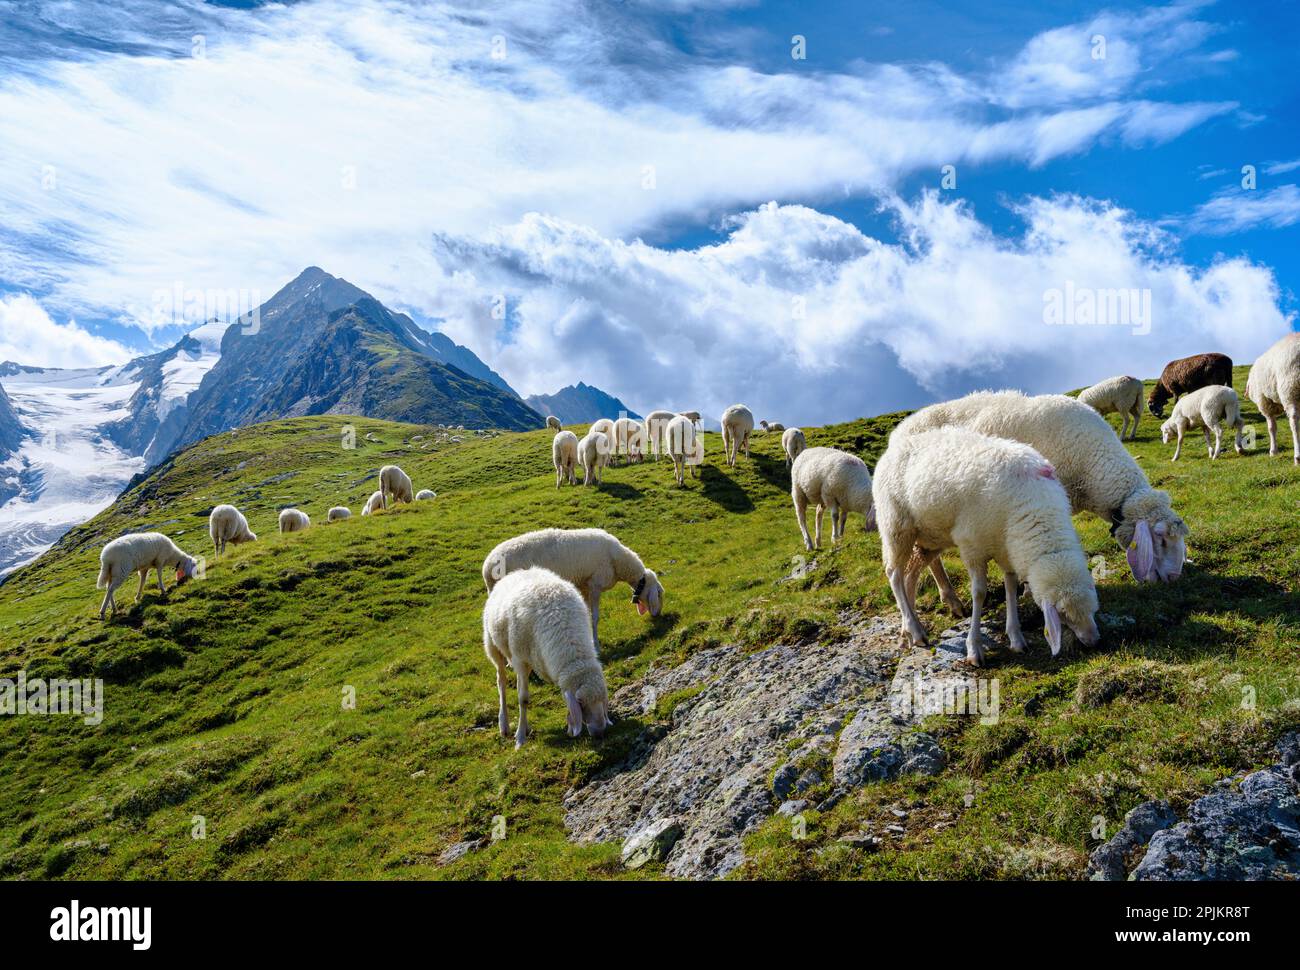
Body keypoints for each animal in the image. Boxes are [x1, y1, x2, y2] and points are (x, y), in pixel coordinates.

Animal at [482, 527, 664, 653]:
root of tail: (488, 568)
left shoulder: (583, 586)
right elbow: (594, 617)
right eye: (660, 593)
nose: (659, 615)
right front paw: (596, 646)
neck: (618, 562)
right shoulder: (595, 584)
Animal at [482, 566, 611, 748]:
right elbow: (523, 699)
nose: (600, 732)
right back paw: (504, 724)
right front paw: (520, 738)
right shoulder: (520, 660)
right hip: (493, 646)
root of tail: (517, 572)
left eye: (603, 699)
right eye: (580, 702)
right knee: (501, 681)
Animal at [874, 427, 1101, 666]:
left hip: (929, 538)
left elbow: (1010, 586)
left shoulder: (1007, 548)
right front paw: (974, 648)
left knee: (910, 576)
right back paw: (915, 630)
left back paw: (908, 630)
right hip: (897, 527)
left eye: (1094, 607)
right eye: (1063, 613)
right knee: (894, 575)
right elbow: (979, 593)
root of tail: (891, 450)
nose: (1094, 641)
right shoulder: (971, 545)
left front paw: (1016, 637)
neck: (1034, 509)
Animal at [1246, 332, 1300, 464]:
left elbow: (1271, 428)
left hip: (1289, 389)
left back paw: (1297, 457)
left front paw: (1273, 451)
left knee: (1294, 422)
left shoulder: (1265, 404)